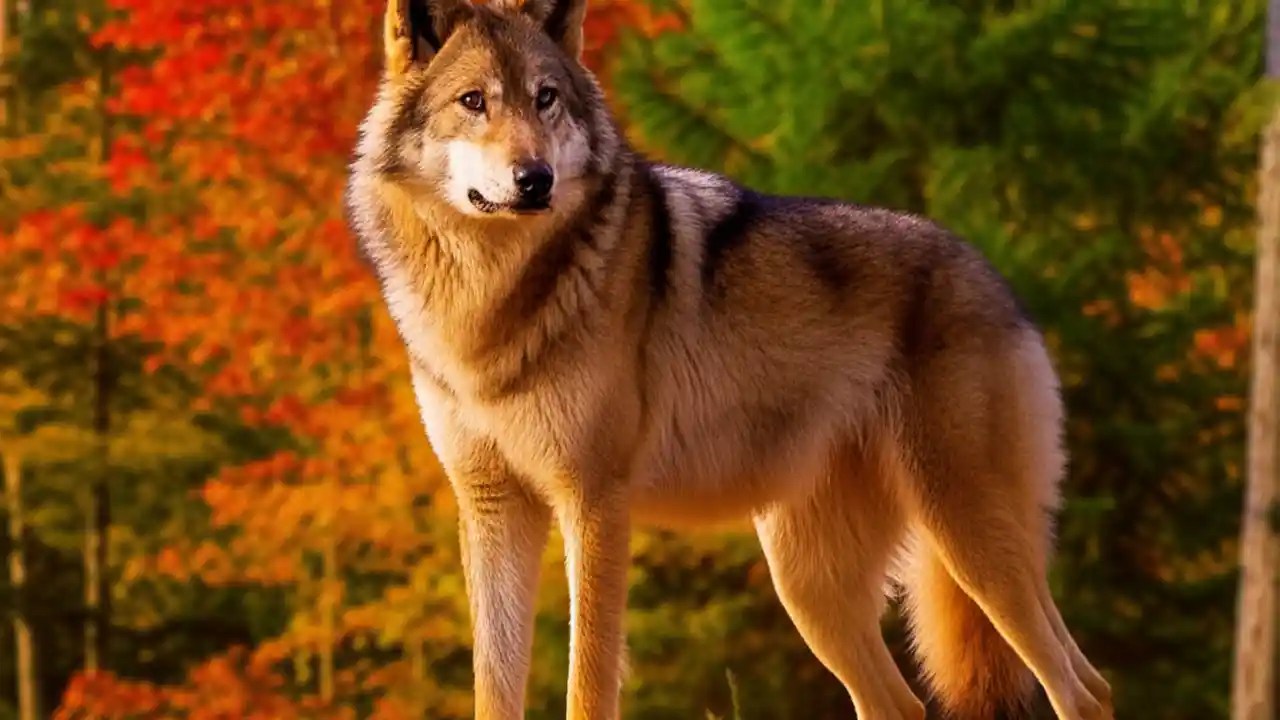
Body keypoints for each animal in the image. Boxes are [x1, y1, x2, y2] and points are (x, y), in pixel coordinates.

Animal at [345, 0, 1114, 718]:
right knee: (906, 703)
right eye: (474, 101)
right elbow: (493, 687)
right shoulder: (492, 508)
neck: (490, 299)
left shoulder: (593, 501)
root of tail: (993, 275)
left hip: (968, 540)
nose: (534, 179)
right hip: (811, 584)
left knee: (1084, 688)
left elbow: (587, 686)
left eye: (546, 98)